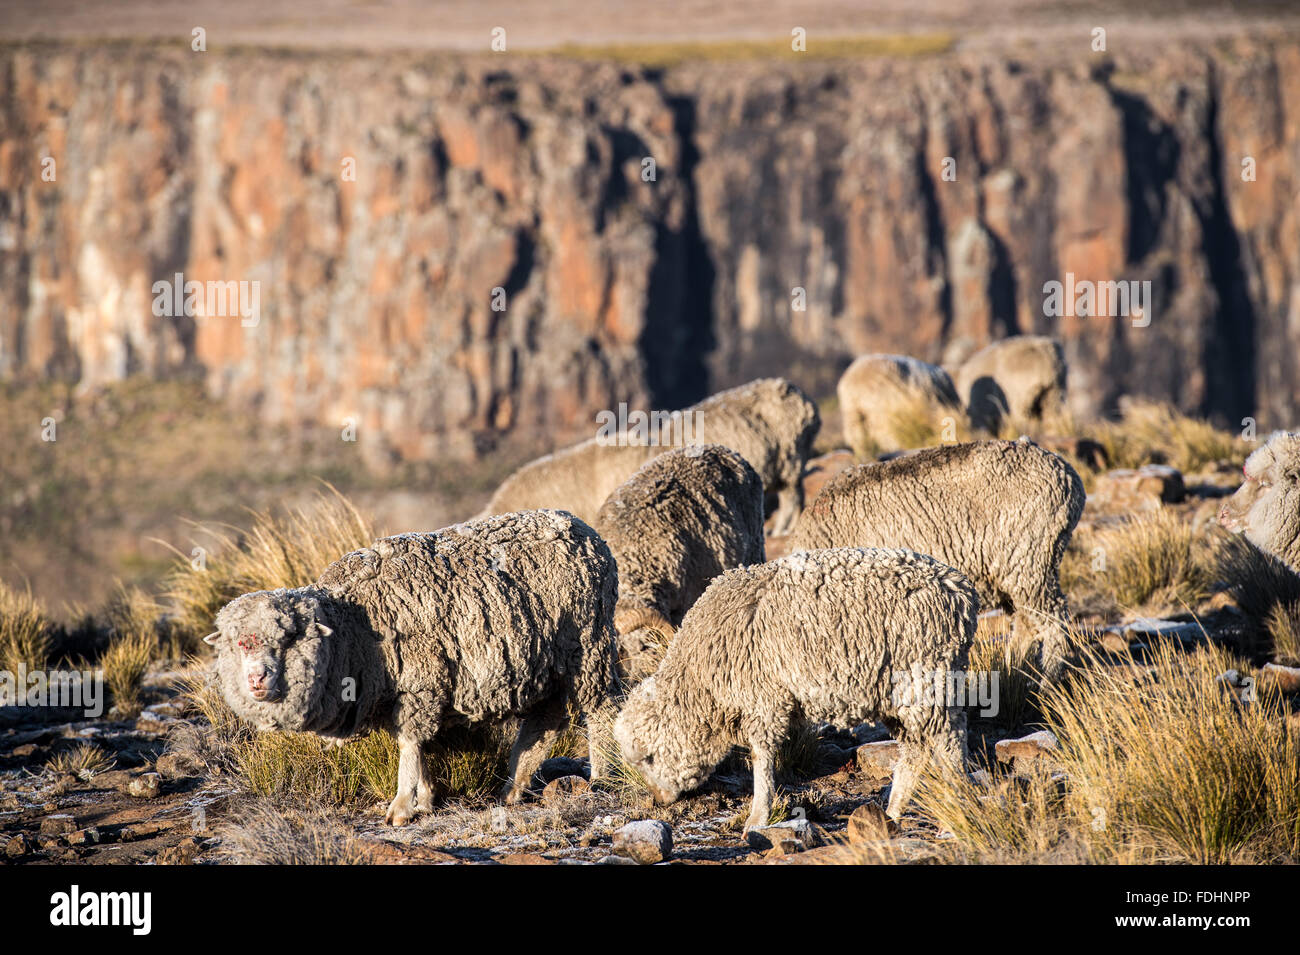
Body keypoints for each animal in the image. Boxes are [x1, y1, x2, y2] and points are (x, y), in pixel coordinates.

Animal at [204, 509, 620, 826]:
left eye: (289, 638)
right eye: (237, 643)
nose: (257, 678)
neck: (352, 628)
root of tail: (582, 527)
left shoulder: (419, 684)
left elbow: (409, 744)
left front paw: (403, 805)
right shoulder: (398, 694)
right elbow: (416, 746)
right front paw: (427, 796)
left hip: (588, 642)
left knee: (601, 708)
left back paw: (602, 777)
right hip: (547, 661)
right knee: (544, 722)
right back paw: (513, 788)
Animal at [614, 547, 978, 831]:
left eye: (648, 758)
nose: (658, 800)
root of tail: (960, 590)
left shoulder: (763, 699)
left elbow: (761, 757)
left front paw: (757, 818)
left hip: (927, 675)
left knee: (951, 743)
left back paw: (955, 812)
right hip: (897, 691)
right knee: (916, 750)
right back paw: (893, 814)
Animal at [789, 438, 1085, 680]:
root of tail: (1067, 474)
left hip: (1029, 559)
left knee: (1052, 619)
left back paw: (1047, 682)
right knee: (1026, 624)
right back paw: (1016, 672)